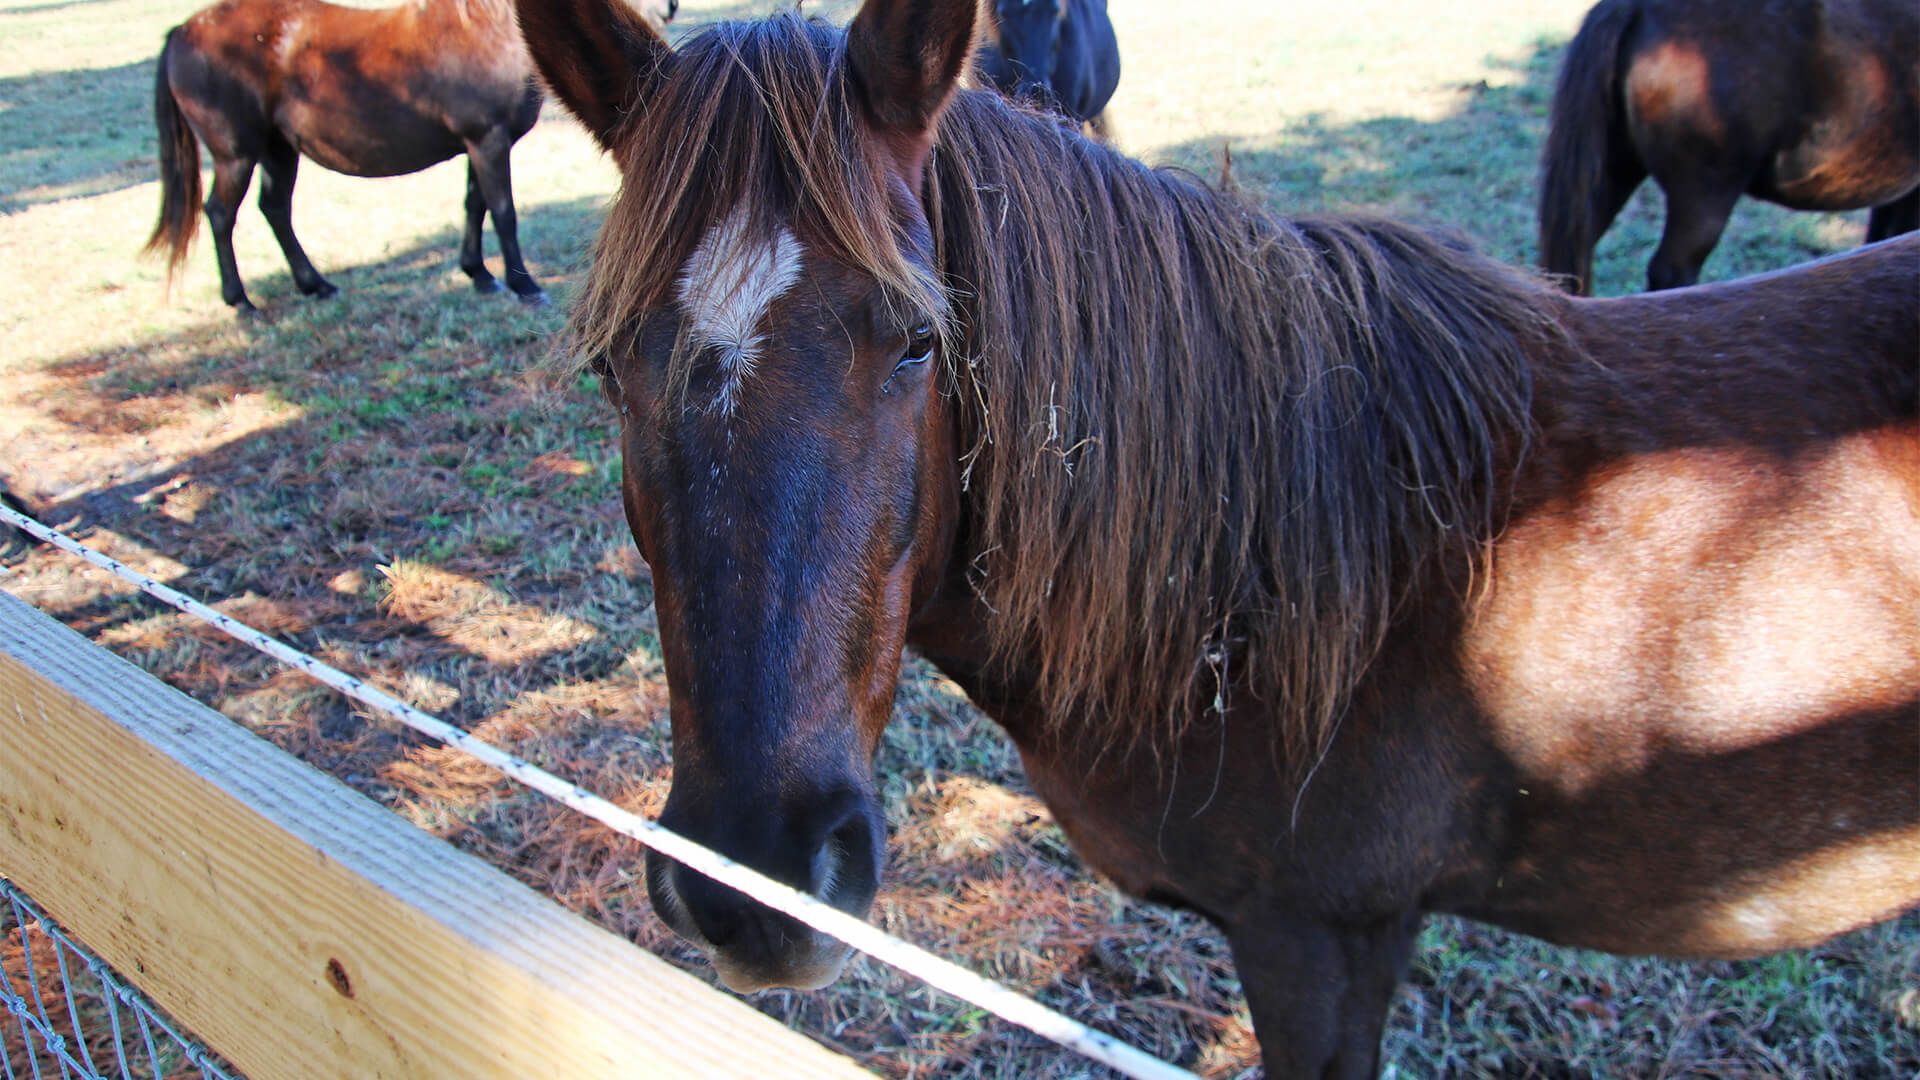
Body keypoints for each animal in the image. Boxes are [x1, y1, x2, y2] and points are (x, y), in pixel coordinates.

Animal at [144, 0, 676, 317]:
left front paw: (479, 274)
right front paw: (523, 284)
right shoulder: (487, 138)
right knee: (220, 214)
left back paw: (314, 284)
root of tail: (182, 28)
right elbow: (502, 211)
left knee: (274, 210)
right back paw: (240, 301)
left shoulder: (479, 143)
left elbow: (474, 206)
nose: (668, 9)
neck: (492, 31)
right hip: (236, 153)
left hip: (279, 149)